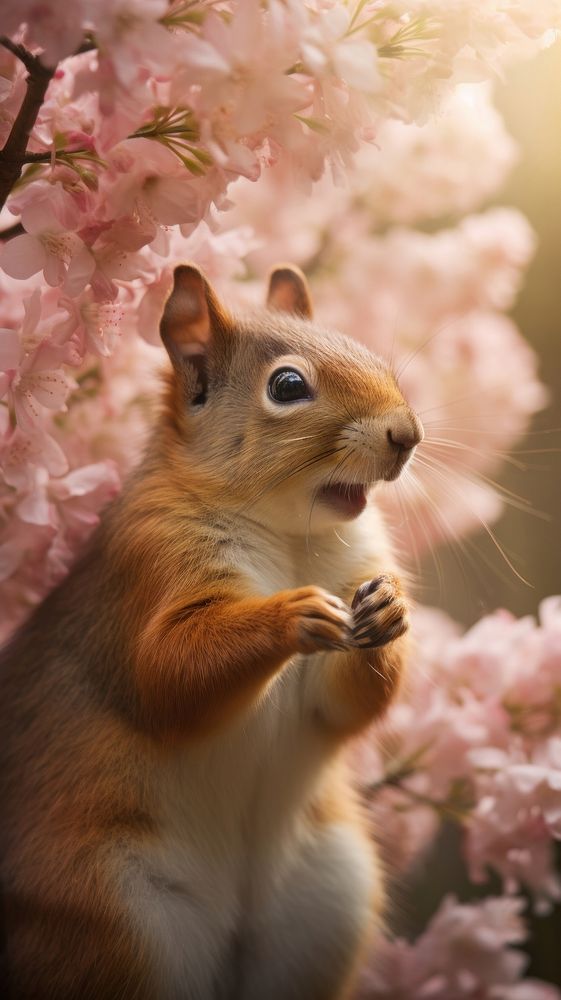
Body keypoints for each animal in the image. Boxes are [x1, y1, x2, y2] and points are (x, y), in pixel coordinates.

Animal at [0, 263, 423, 1000]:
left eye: (364, 346)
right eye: (288, 386)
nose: (407, 434)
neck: (293, 535)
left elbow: (342, 705)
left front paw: (391, 613)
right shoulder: (149, 566)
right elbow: (168, 674)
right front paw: (291, 613)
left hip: (324, 907)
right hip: (115, 923)